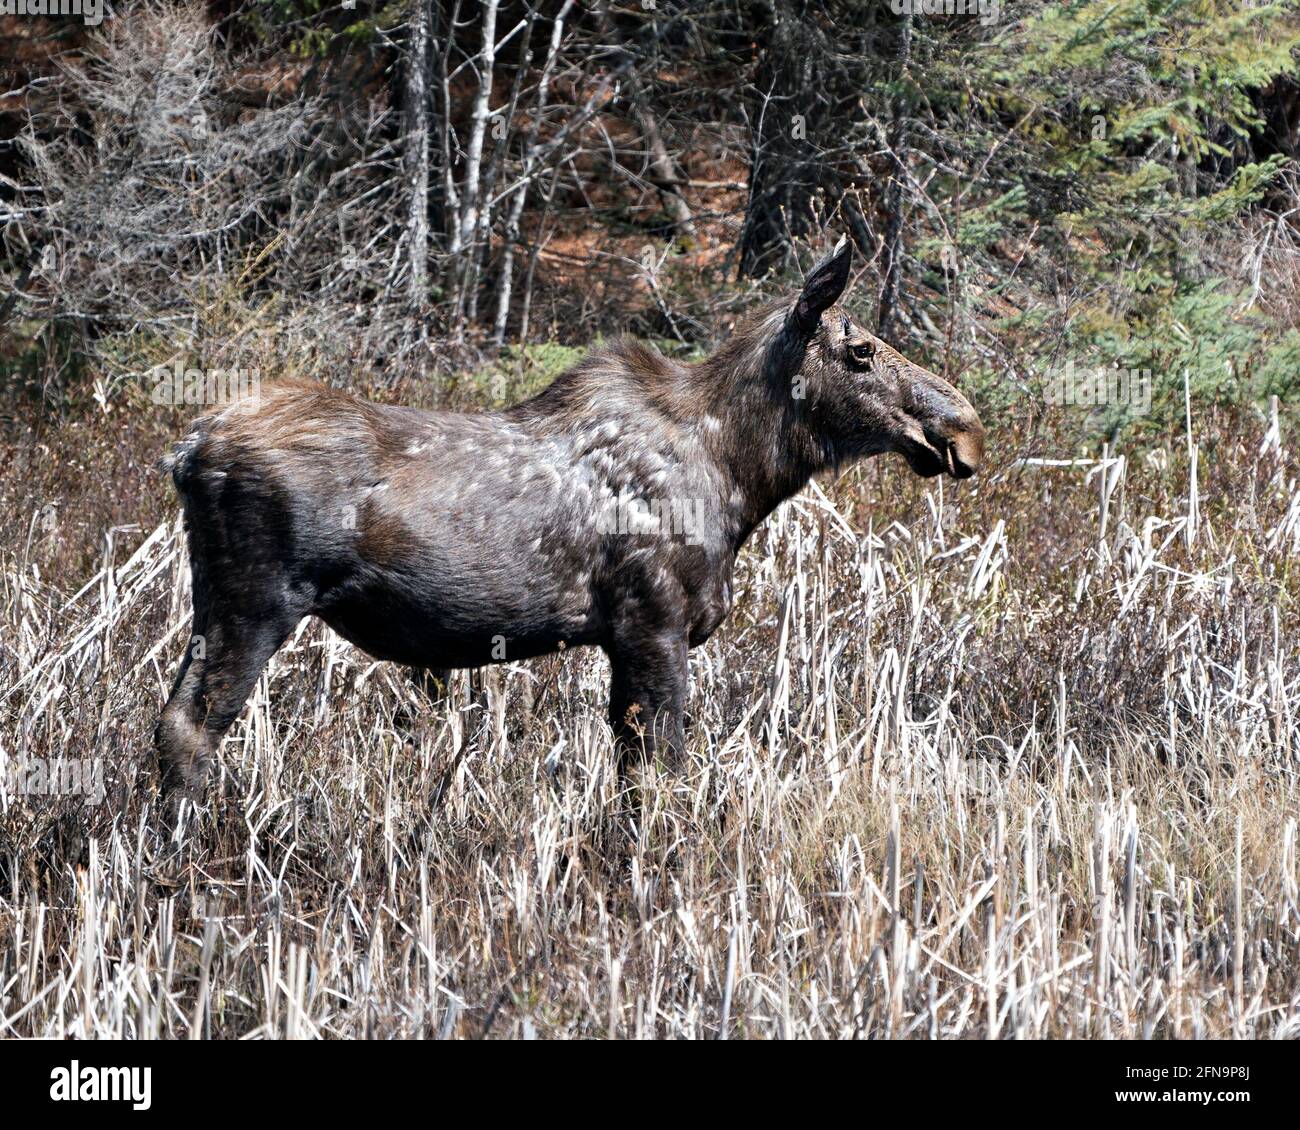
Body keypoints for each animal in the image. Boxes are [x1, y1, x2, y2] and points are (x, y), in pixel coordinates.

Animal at [154, 239, 984, 820]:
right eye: (861, 351)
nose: (963, 429)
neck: (742, 475)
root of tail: (186, 452)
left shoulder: (624, 637)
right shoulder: (653, 621)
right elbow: (658, 775)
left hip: (218, 604)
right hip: (256, 602)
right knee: (188, 728)